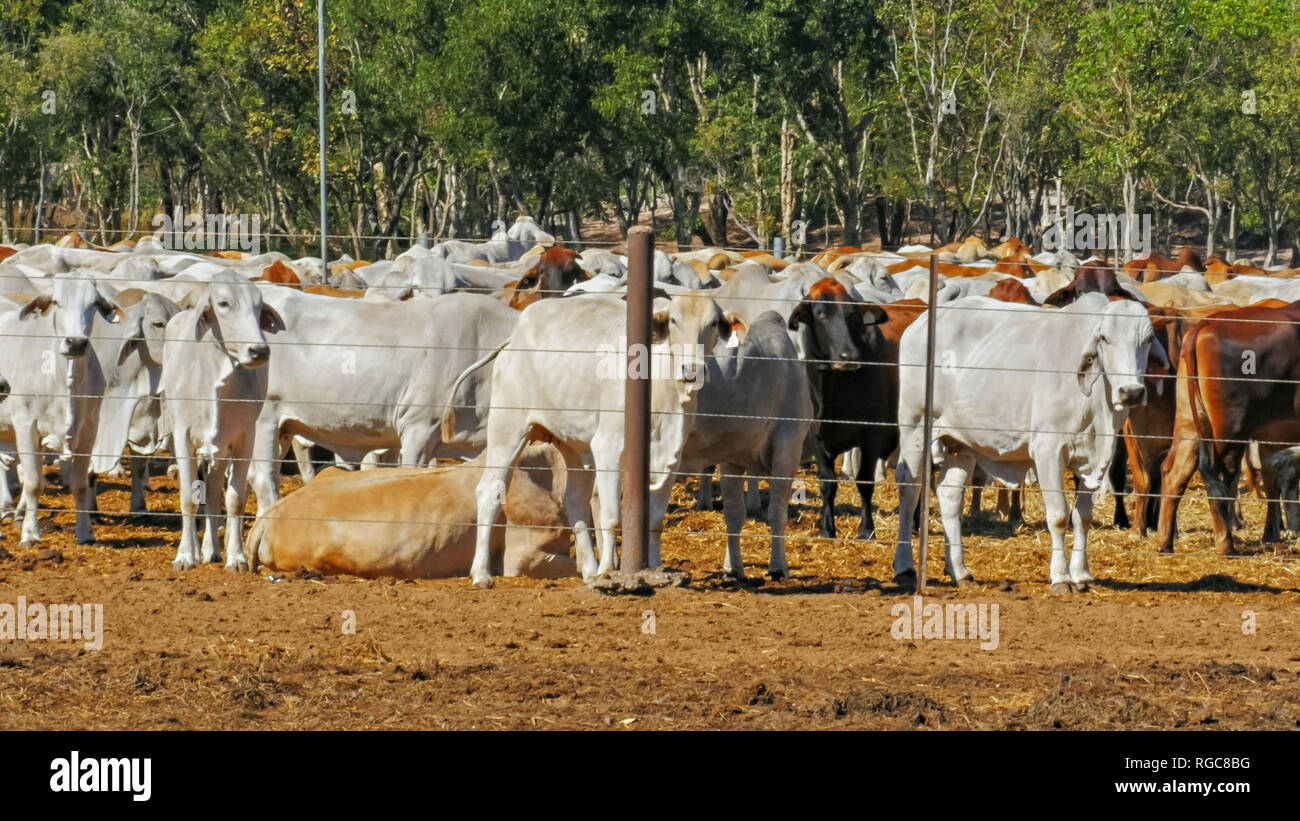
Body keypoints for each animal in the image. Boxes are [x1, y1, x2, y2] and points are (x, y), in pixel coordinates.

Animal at [0, 273, 125, 546]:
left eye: (94, 303)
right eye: (56, 301)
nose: (76, 343)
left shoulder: (88, 431)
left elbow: (80, 485)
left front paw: (86, 532)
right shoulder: (25, 427)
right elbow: (34, 483)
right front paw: (30, 534)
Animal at [162, 270, 284, 571]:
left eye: (258, 305)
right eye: (223, 304)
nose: (259, 351)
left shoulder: (244, 439)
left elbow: (235, 499)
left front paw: (237, 557)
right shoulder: (183, 438)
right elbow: (188, 498)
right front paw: (185, 555)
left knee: (215, 489)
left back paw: (211, 550)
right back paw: (198, 550)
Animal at [456, 290, 736, 587]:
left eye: (713, 323)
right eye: (674, 320)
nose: (693, 370)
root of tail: (514, 340)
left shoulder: (672, 456)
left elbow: (655, 521)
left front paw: (656, 569)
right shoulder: (608, 449)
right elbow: (612, 517)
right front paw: (608, 570)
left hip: (571, 446)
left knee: (574, 501)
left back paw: (589, 570)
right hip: (508, 429)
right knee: (488, 491)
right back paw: (481, 573)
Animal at [894, 293, 1166, 592]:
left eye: (1148, 338)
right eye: (1105, 337)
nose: (1131, 392)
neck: (1097, 403)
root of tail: (922, 321)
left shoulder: (1094, 459)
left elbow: (1082, 516)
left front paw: (1081, 574)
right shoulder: (1048, 451)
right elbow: (1059, 515)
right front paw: (1061, 577)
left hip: (960, 443)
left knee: (949, 495)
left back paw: (959, 571)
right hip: (915, 427)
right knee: (910, 489)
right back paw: (905, 567)